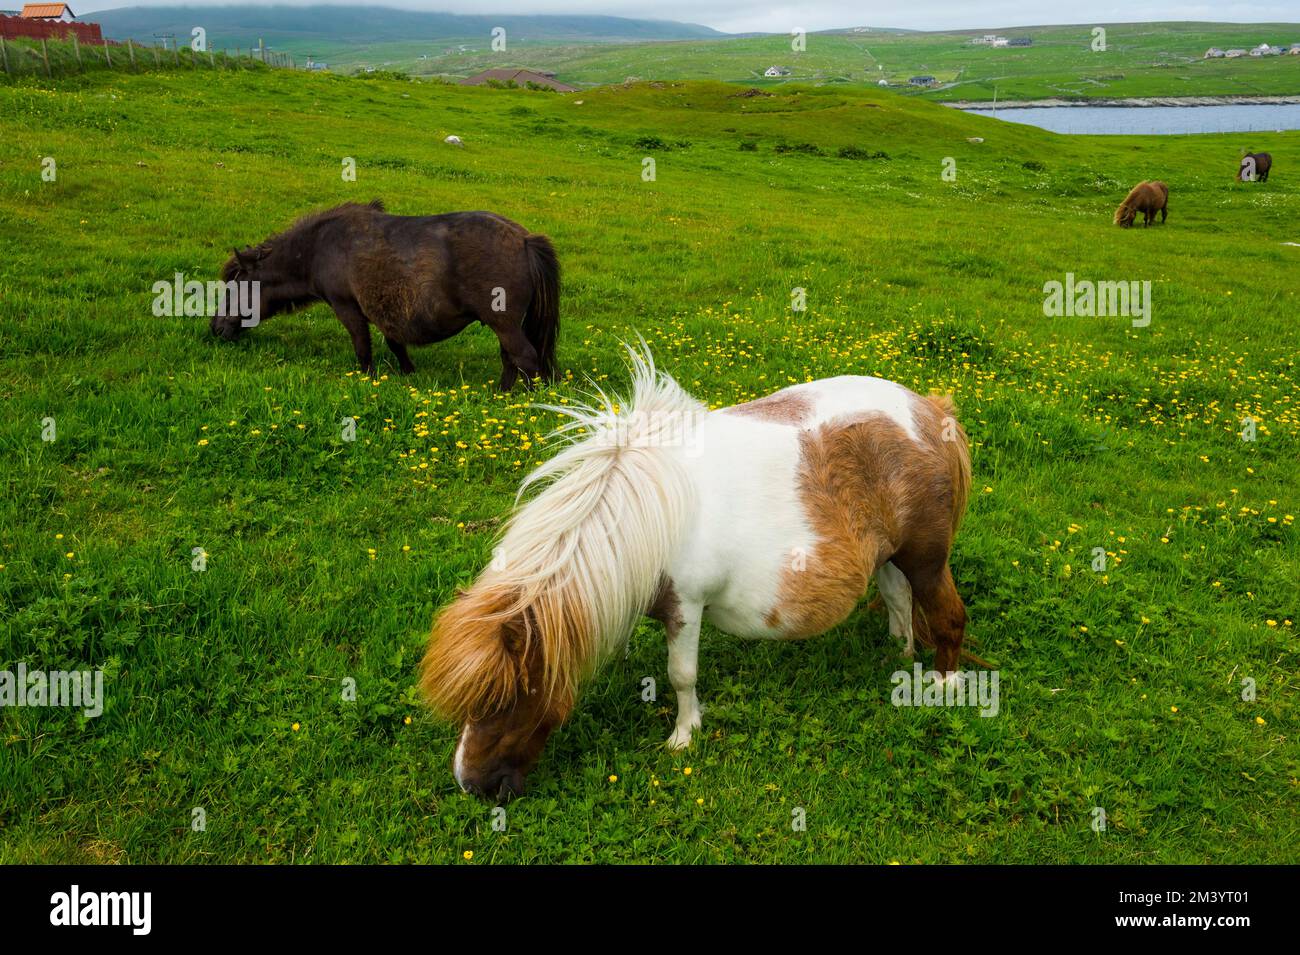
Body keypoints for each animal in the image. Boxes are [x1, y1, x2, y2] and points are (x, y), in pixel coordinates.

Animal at [211, 200, 560, 390]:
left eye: (233, 286)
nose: (215, 328)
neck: (319, 247)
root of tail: (525, 239)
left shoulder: (347, 307)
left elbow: (362, 348)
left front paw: (368, 379)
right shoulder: (385, 312)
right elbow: (395, 344)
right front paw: (408, 374)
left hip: (505, 324)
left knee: (525, 358)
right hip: (504, 326)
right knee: (509, 359)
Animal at [420, 346, 975, 801]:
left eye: (504, 699)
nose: (469, 784)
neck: (645, 510)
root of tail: (931, 411)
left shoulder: (686, 605)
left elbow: (681, 675)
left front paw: (684, 736)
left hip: (927, 561)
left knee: (949, 618)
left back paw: (943, 687)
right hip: (891, 558)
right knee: (900, 604)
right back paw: (897, 656)